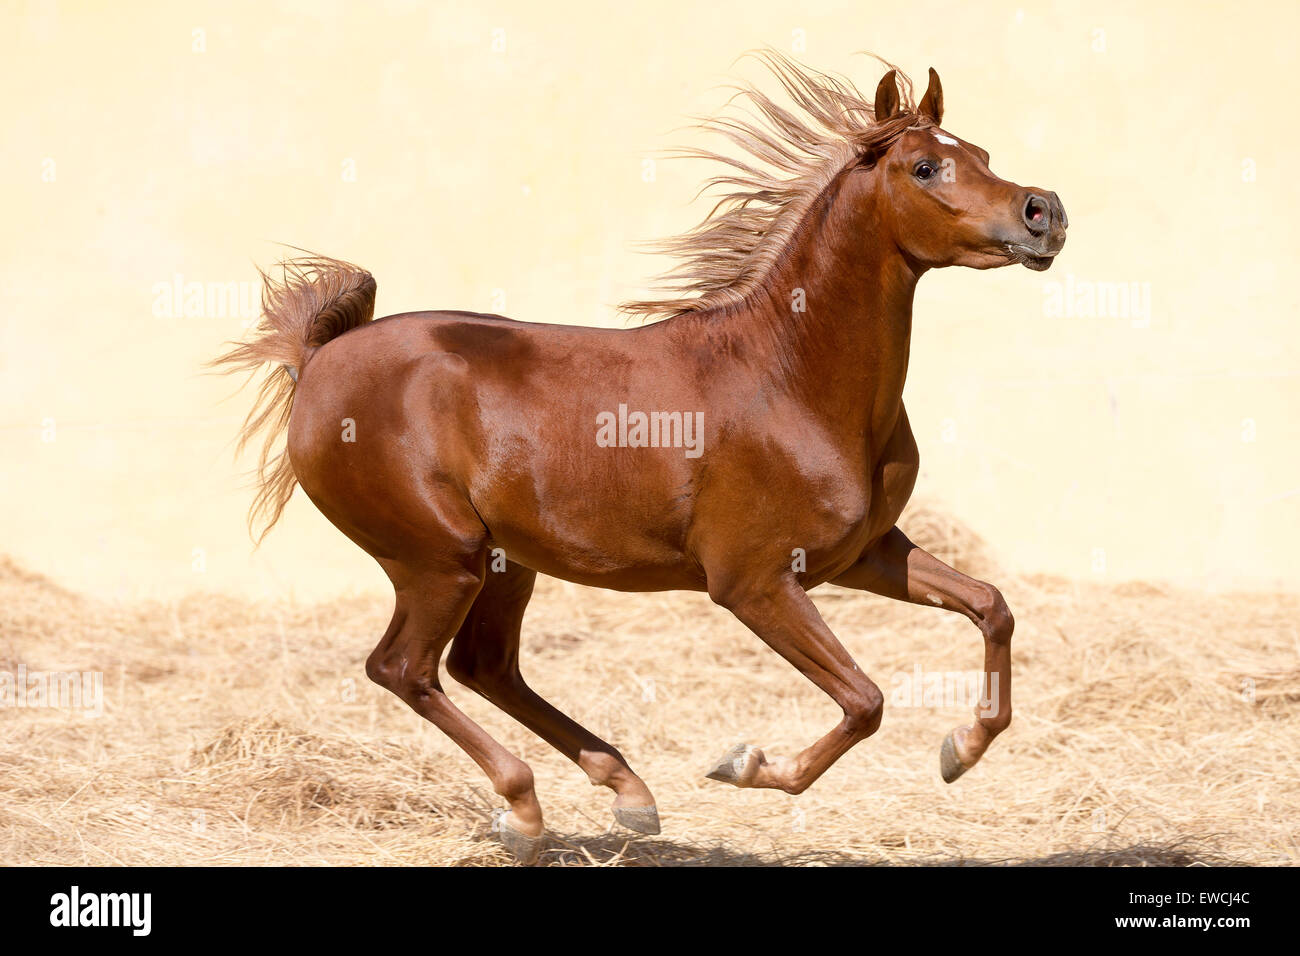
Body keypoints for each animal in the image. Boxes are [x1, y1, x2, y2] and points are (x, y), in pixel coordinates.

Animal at [213, 52, 1067, 864]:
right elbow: (865, 700)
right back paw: (525, 810)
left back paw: (627, 791)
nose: (1044, 213)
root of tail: (317, 361)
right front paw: (748, 765)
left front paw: (961, 749)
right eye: (923, 167)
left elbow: (992, 606)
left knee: (484, 666)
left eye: (982, 154)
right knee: (406, 669)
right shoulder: (754, 583)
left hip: (505, 562)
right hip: (440, 559)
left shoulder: (862, 555)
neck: (791, 376)